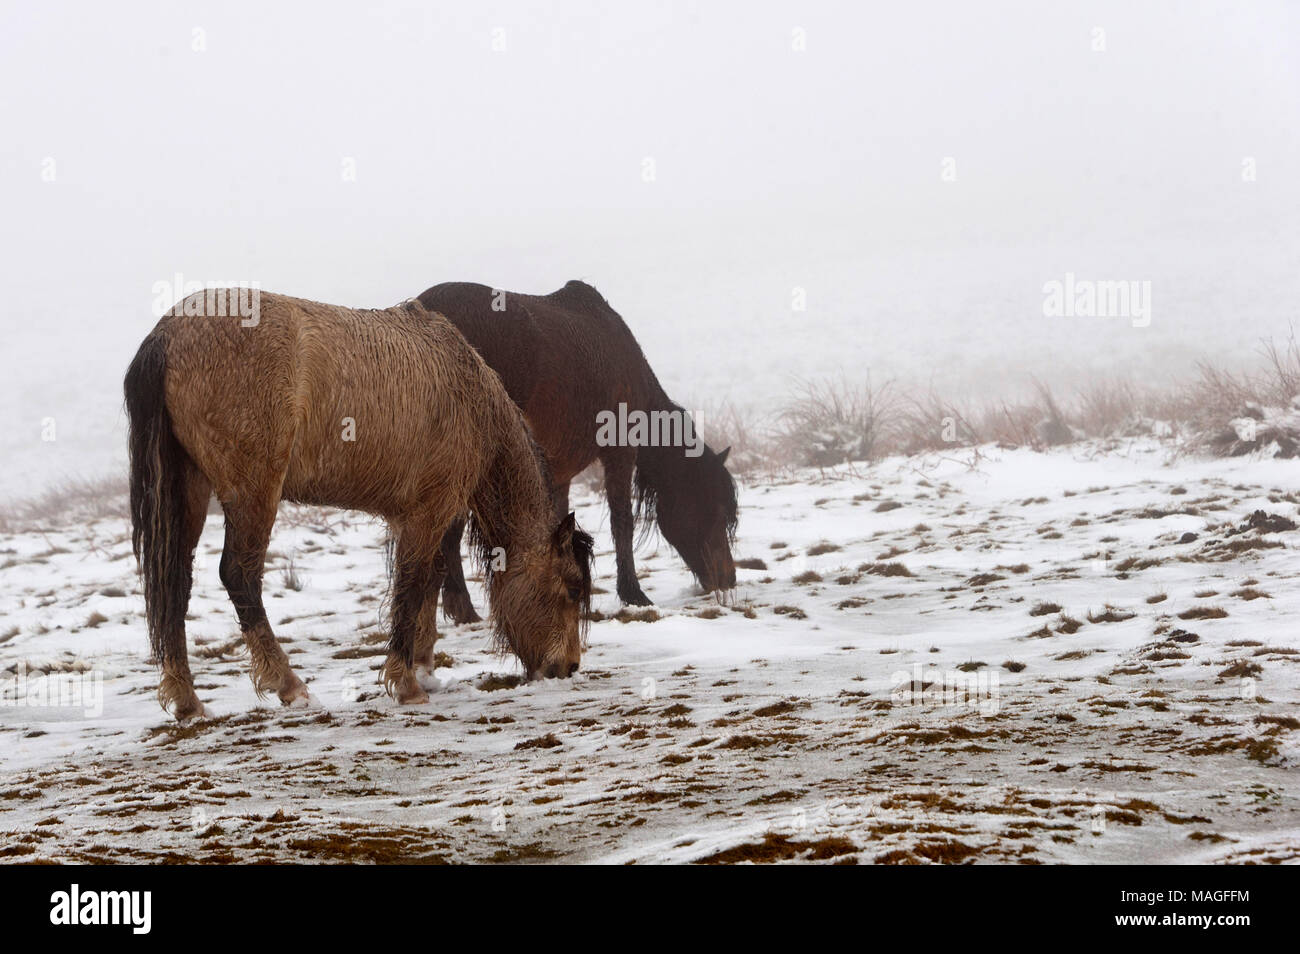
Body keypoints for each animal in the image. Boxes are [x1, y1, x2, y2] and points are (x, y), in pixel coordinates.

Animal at [124, 289, 593, 721]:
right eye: (572, 587)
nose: (569, 667)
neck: (469, 396)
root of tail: (165, 336)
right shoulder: (428, 511)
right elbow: (412, 584)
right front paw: (407, 684)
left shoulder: (424, 518)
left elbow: (429, 581)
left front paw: (424, 669)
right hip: (253, 494)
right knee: (239, 576)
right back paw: (289, 685)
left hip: (189, 488)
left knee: (175, 583)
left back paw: (188, 701)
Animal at [414, 280, 737, 623]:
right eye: (717, 510)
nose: (728, 578)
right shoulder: (620, 453)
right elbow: (621, 522)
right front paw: (633, 594)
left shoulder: (560, 472)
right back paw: (462, 607)